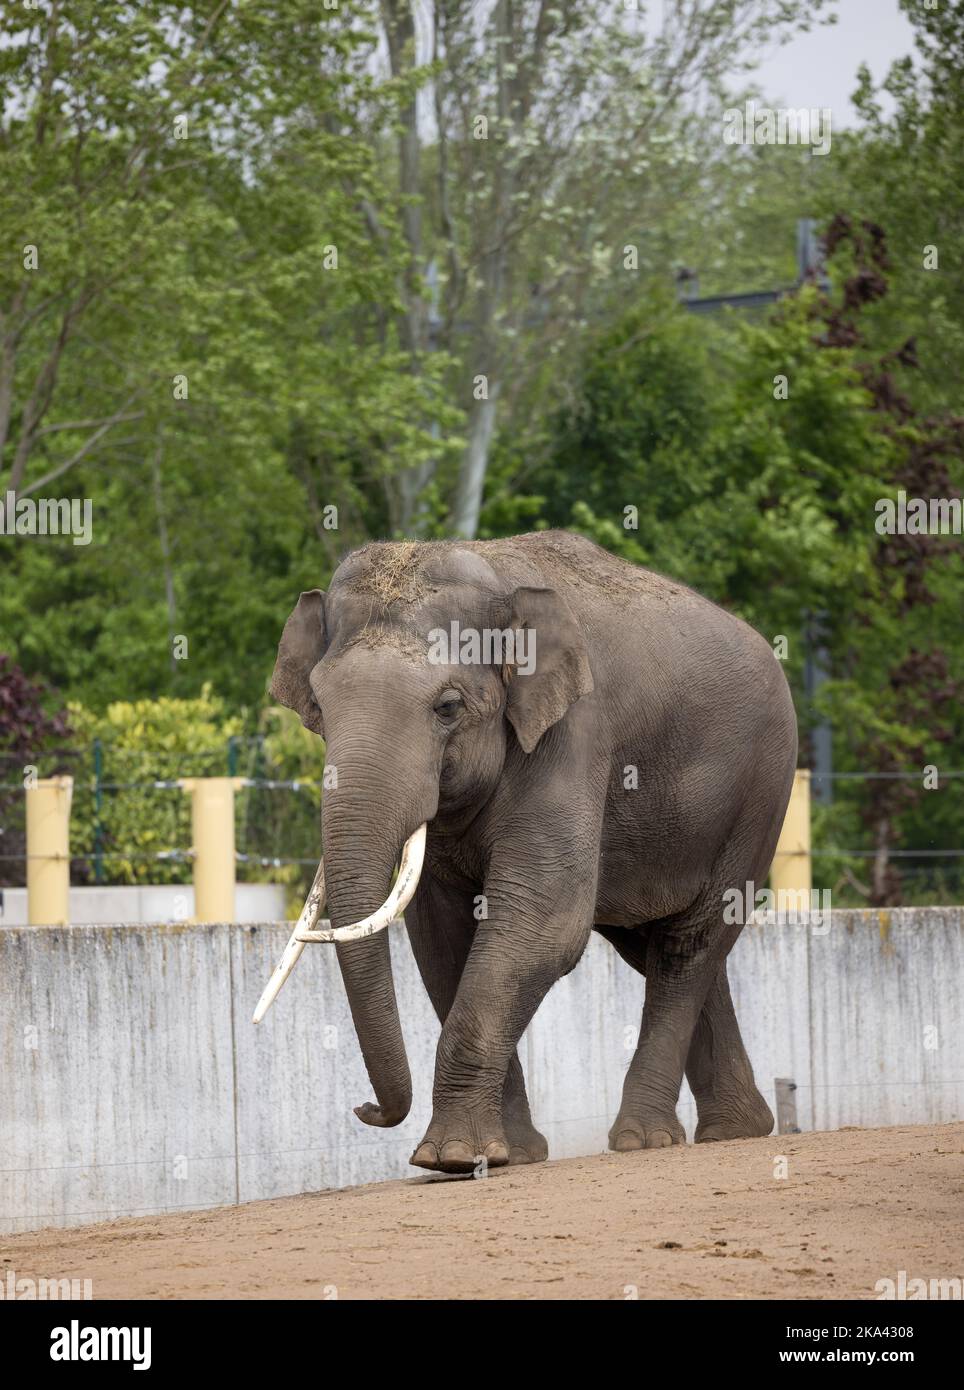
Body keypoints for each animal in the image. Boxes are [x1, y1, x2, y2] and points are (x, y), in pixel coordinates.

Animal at [261, 529, 797, 1173]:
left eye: (447, 707)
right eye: (318, 707)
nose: (365, 1109)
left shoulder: (573, 732)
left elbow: (541, 924)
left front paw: (450, 1157)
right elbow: (443, 939)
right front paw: (501, 1156)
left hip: (760, 791)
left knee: (689, 943)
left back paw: (643, 1139)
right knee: (663, 946)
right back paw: (738, 1130)